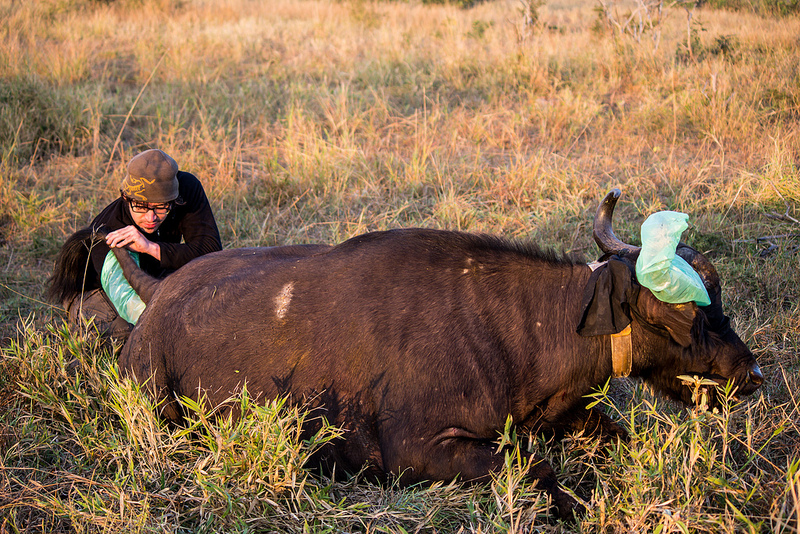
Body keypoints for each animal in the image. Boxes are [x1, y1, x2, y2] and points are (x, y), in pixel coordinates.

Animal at [101, 189, 762, 519]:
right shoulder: (417, 453)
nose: (750, 374)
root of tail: (159, 297)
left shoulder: (566, 414)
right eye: (682, 313)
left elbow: (619, 436)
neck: (519, 333)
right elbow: (537, 469)